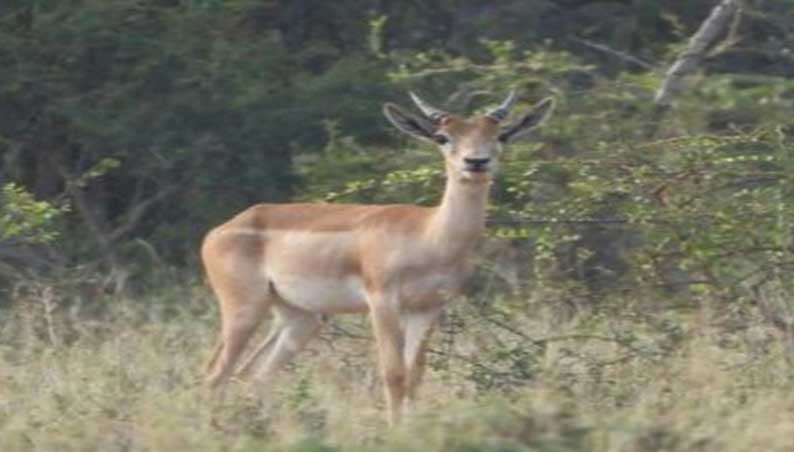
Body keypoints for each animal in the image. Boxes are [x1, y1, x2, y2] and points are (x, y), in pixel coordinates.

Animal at [201, 91, 555, 425]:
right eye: (443, 137)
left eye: (501, 135)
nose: (476, 162)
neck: (429, 235)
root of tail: (218, 232)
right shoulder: (382, 301)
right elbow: (393, 375)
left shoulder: (428, 308)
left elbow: (414, 376)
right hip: (244, 308)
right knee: (215, 374)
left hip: (299, 317)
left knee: (254, 373)